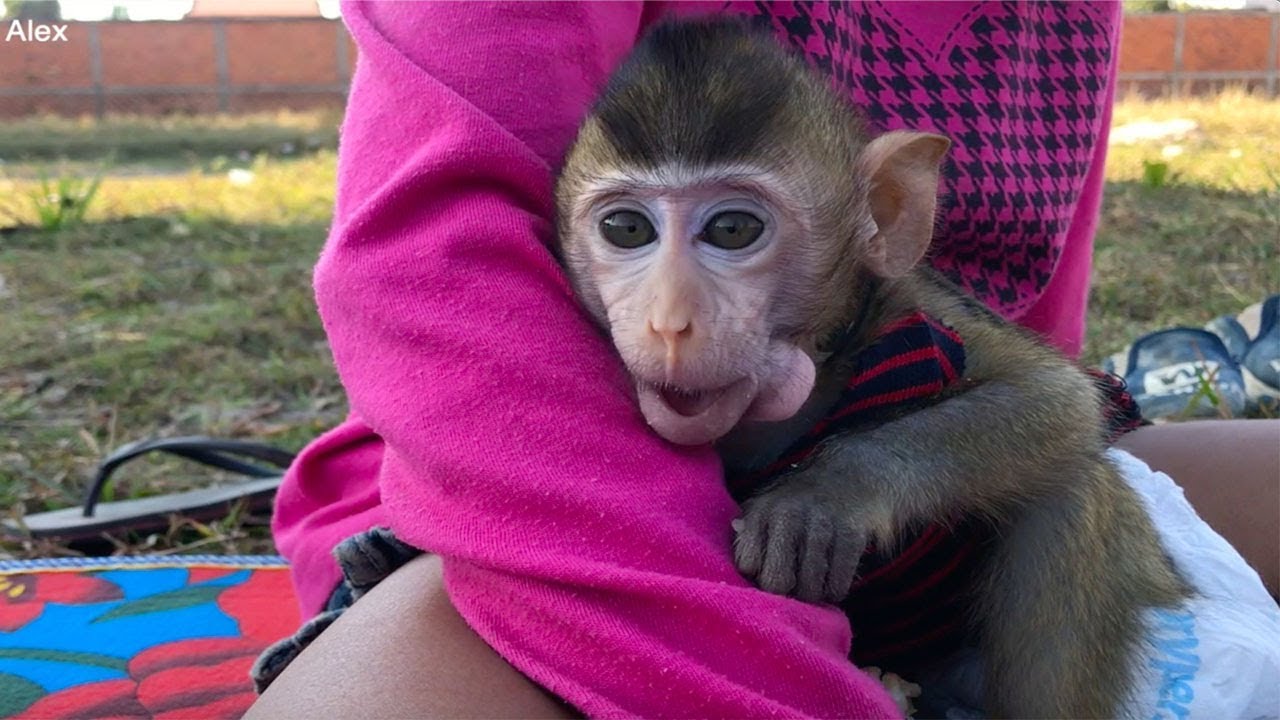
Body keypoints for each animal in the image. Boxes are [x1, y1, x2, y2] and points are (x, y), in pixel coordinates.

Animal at [553, 17, 1191, 720]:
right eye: (626, 228)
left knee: (1071, 486)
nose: (669, 321)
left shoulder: (910, 305)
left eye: (732, 229)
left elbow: (1059, 400)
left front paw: (827, 494)